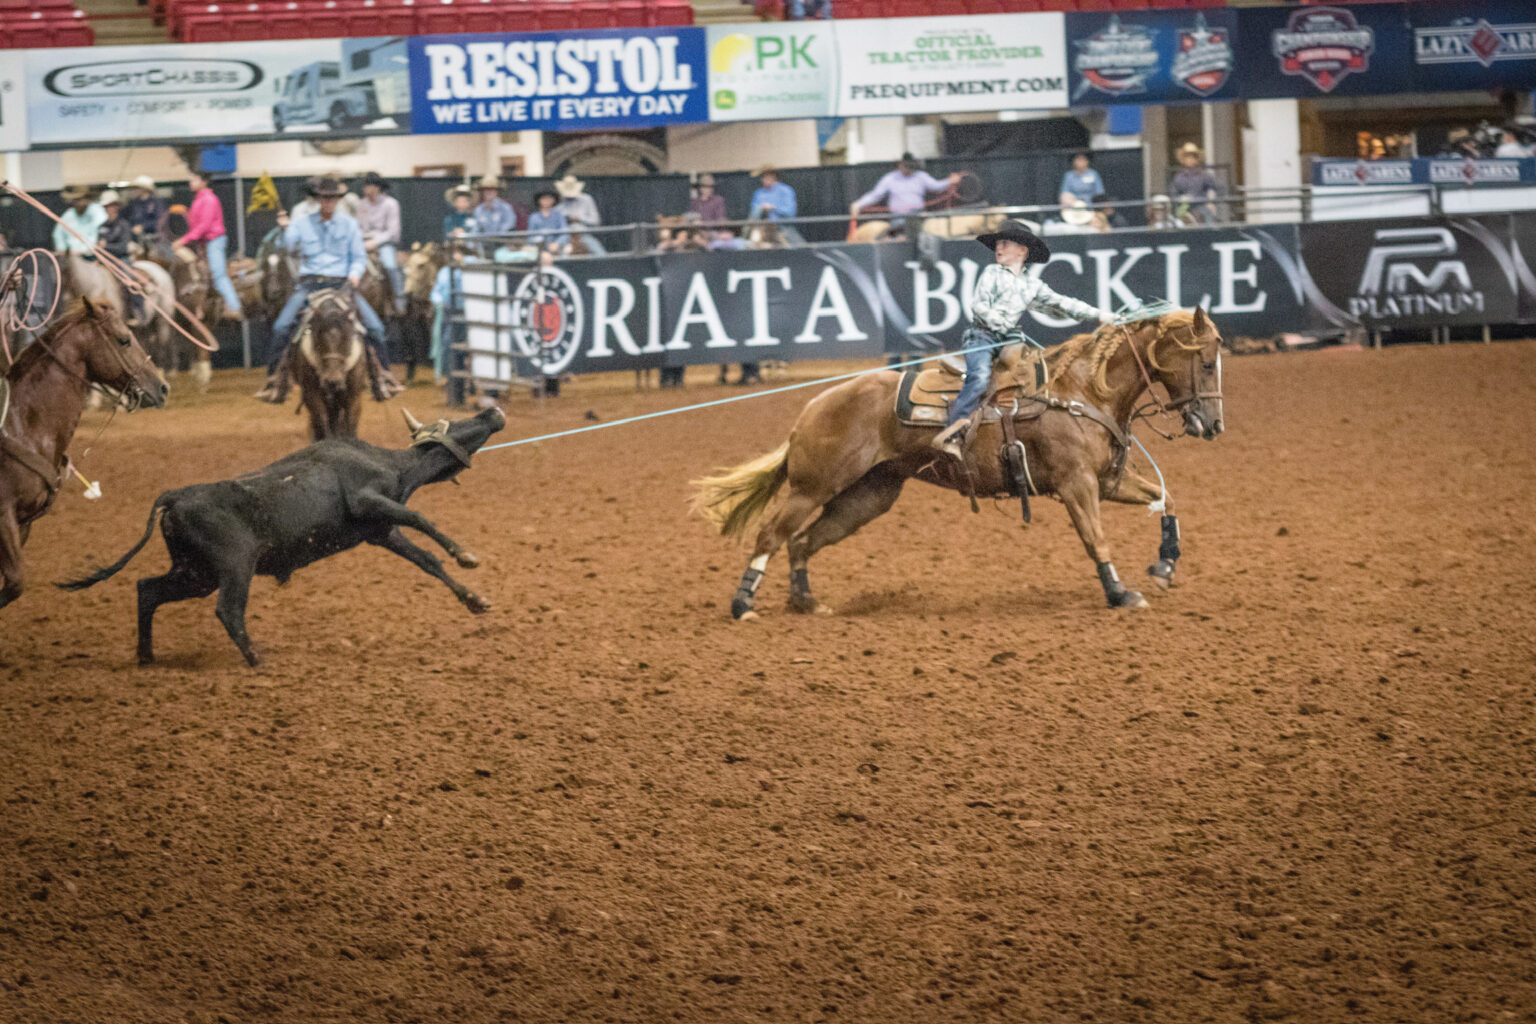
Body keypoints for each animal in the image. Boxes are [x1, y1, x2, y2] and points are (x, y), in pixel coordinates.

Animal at [1, 296, 169, 610]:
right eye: (124, 339)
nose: (162, 387)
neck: (23, 424)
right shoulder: (4, 516)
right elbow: (15, 582)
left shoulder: (23, 523)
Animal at [290, 288, 367, 441]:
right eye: (318, 339)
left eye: (347, 337)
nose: (332, 380)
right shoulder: (312, 395)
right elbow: (323, 423)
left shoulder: (354, 397)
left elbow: (350, 425)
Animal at [692, 307, 1226, 620]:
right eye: (1205, 362)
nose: (1213, 424)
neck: (1081, 392)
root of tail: (810, 410)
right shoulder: (1077, 484)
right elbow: (1096, 538)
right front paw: (1118, 593)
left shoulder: (1108, 480)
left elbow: (1167, 498)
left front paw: (1165, 564)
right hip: (813, 486)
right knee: (771, 535)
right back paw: (743, 604)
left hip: (868, 496)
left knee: (803, 541)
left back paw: (805, 601)